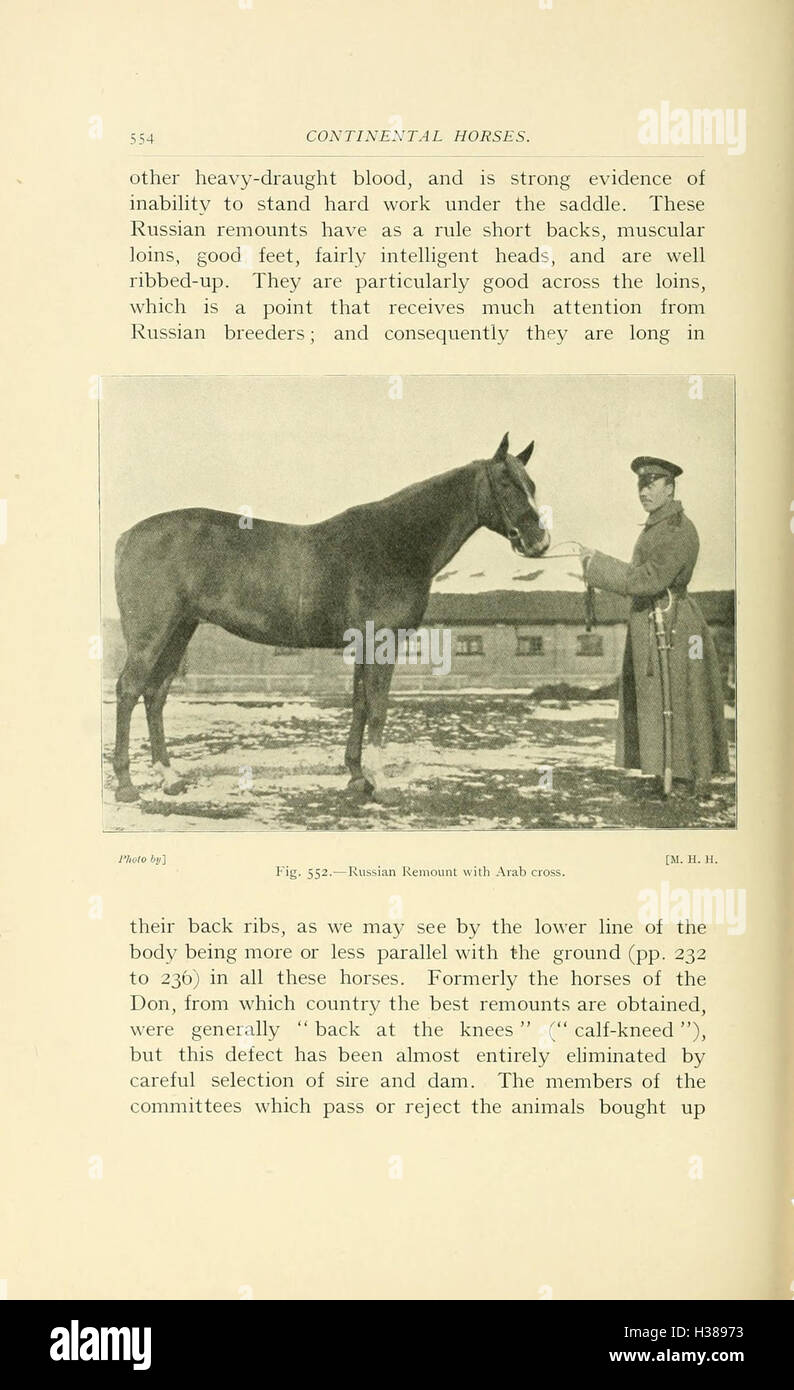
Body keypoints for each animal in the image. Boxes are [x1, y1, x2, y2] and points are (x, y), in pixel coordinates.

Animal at [111, 432, 549, 804]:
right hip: (153, 633)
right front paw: (382, 785)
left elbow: (359, 703)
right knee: (129, 689)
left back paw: (169, 778)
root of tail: (128, 536)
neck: (395, 542)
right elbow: (378, 707)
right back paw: (126, 785)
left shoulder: (364, 644)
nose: (539, 541)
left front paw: (357, 777)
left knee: (156, 693)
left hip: (179, 630)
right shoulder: (382, 641)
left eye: (532, 483)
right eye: (506, 483)